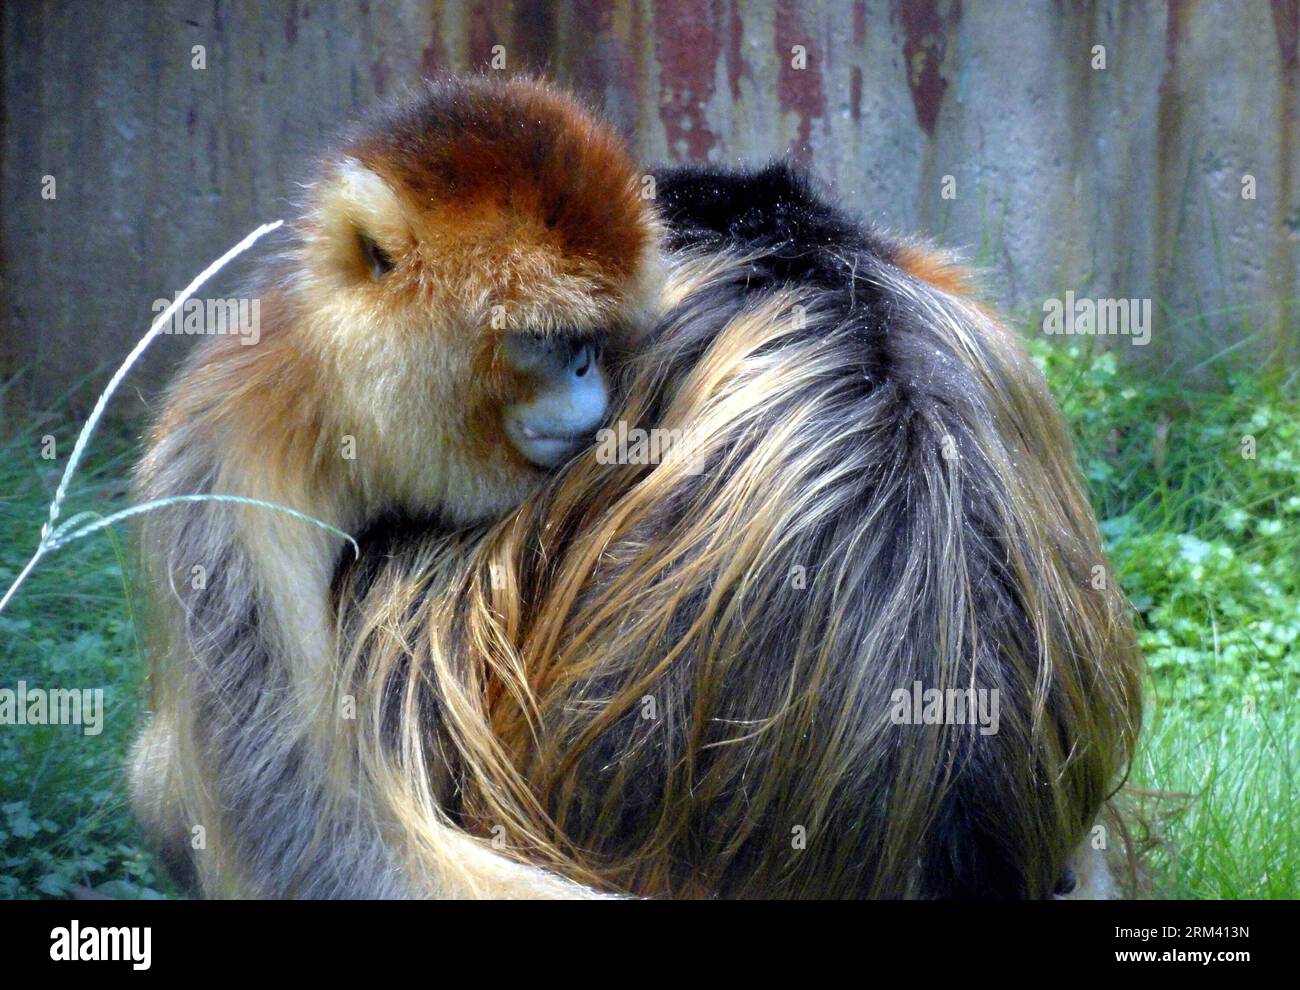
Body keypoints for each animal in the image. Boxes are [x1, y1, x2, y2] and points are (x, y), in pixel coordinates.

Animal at [128, 76, 660, 897]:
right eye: (545, 337)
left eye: (596, 336)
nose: (584, 368)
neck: (341, 420)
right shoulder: (236, 476)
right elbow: (314, 830)